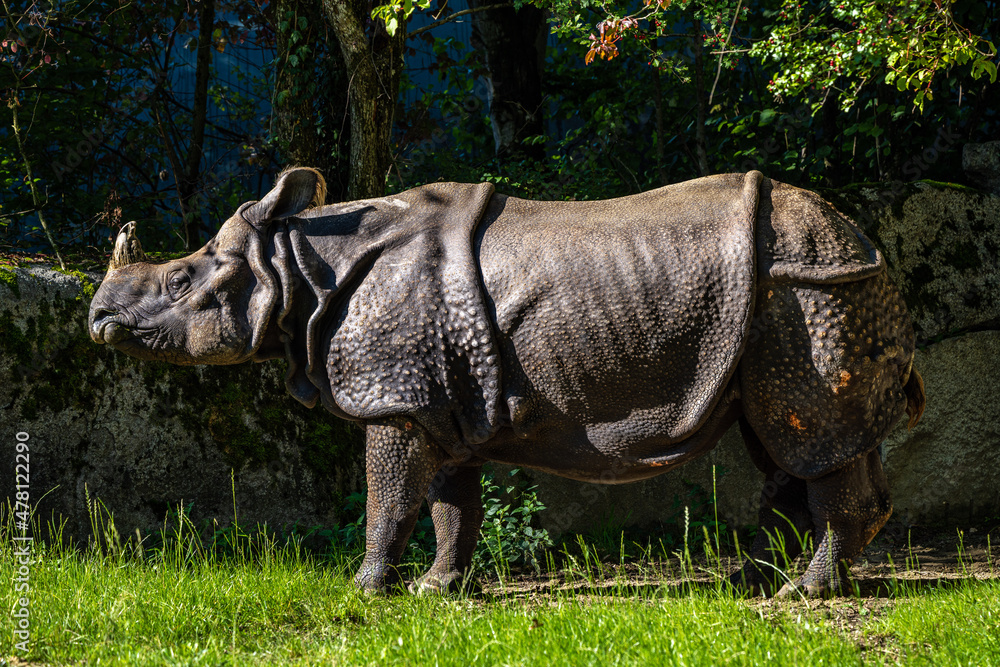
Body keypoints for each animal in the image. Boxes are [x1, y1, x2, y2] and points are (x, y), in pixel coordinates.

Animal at [89, 167, 924, 597]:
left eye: (179, 279)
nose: (97, 317)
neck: (300, 264)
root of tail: (866, 241)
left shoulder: (397, 398)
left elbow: (390, 497)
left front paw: (366, 589)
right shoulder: (437, 398)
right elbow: (451, 504)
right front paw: (438, 591)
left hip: (806, 289)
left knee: (804, 433)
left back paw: (797, 595)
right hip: (795, 293)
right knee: (786, 439)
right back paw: (752, 581)